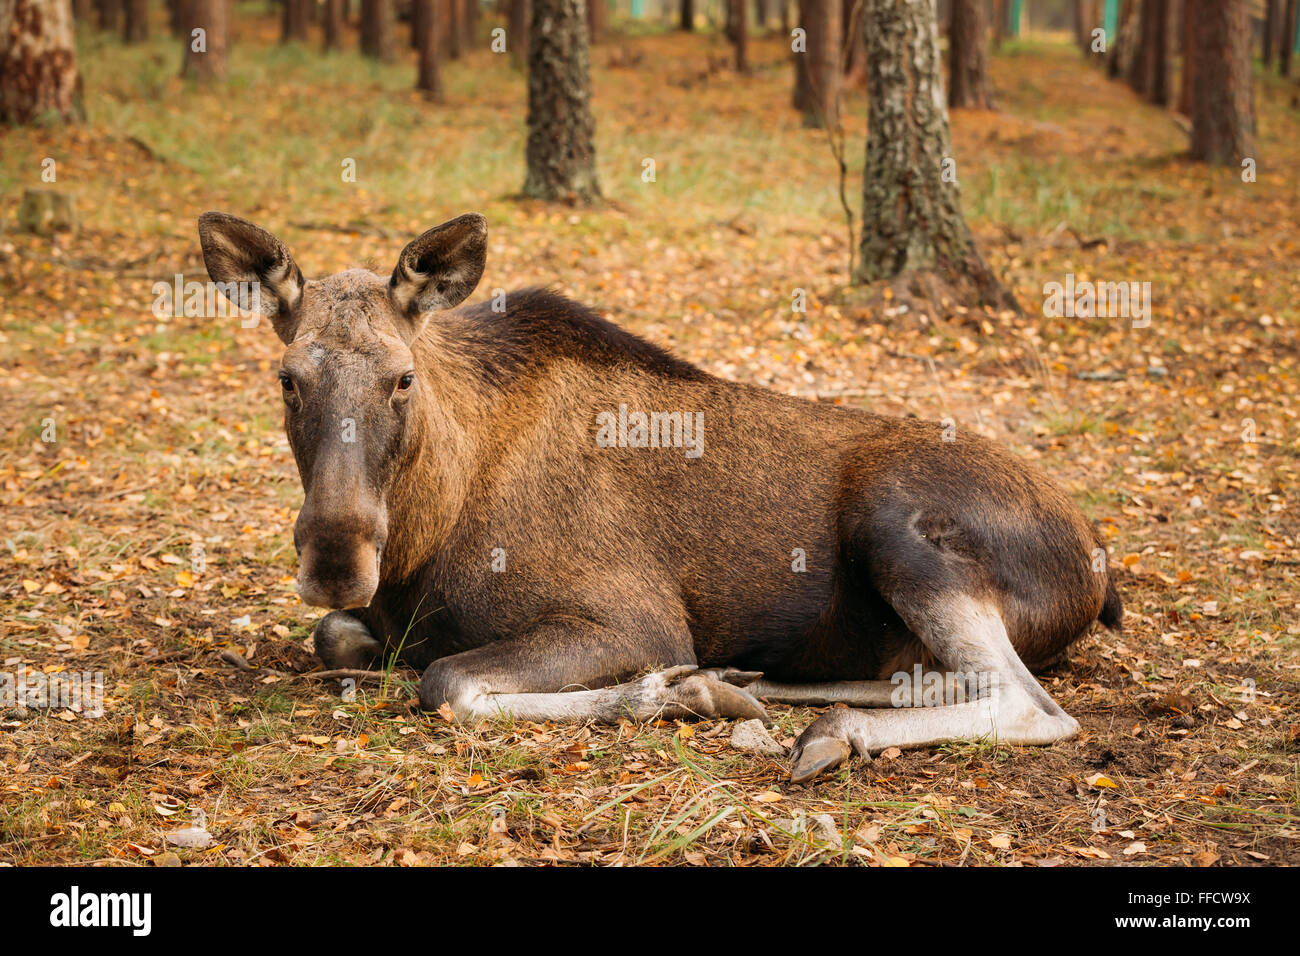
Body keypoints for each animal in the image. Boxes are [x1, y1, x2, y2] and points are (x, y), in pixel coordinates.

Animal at [198, 211, 1122, 783]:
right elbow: (336, 636)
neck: (429, 530)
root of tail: (1102, 569)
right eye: (287, 377)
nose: (335, 557)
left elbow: (448, 682)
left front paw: (670, 692)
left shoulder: (634, 620)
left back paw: (824, 728)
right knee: (932, 680)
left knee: (1032, 704)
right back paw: (758, 684)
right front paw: (699, 685)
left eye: (402, 377)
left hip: (897, 524)